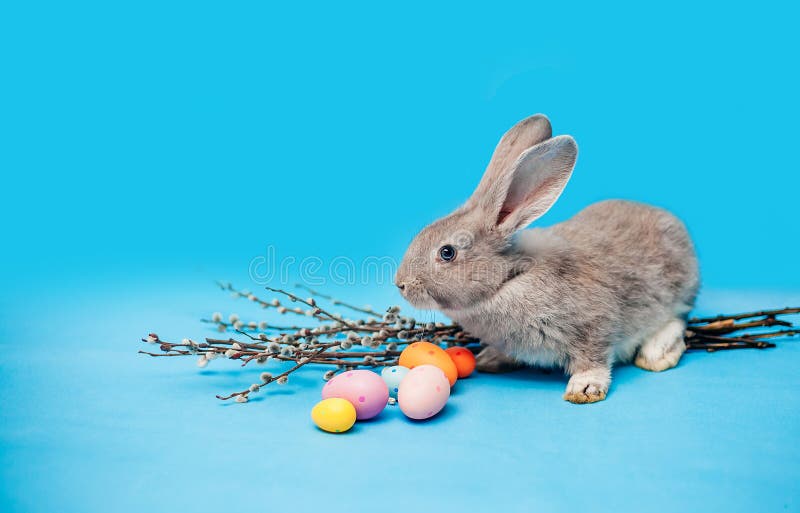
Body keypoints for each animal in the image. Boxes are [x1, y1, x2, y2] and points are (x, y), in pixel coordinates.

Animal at [394, 114, 699, 403]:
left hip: (676, 293)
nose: (401, 284)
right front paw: (490, 358)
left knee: (676, 320)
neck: (509, 279)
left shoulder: (594, 324)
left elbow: (594, 357)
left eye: (447, 252)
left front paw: (585, 388)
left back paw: (655, 354)